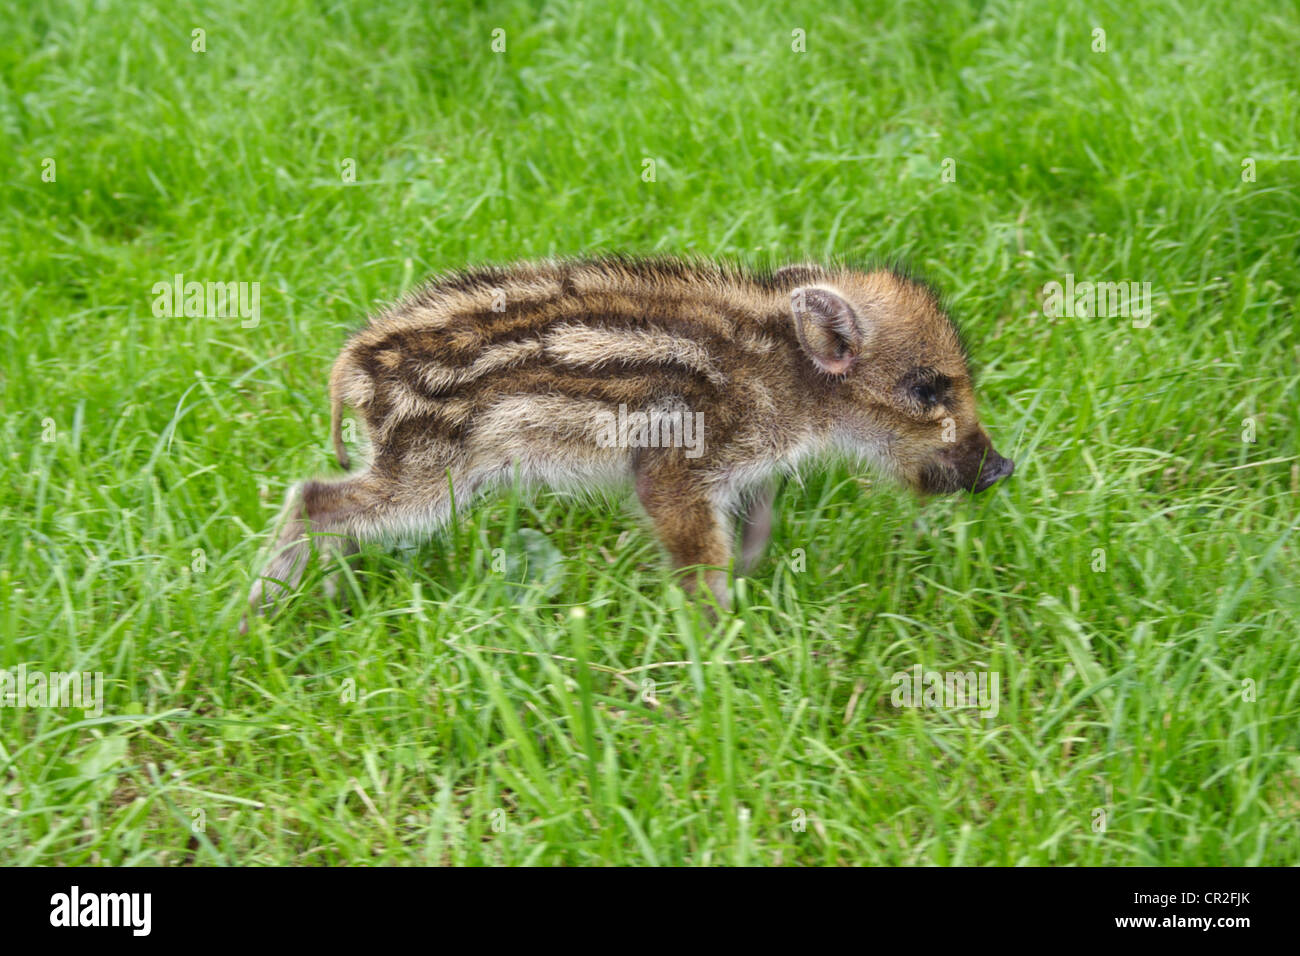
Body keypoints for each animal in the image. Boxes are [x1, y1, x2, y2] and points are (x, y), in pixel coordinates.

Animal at [242, 256, 1013, 629]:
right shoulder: (672, 468)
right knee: (315, 497)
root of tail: (353, 364)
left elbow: (754, 524)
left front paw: (750, 586)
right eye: (928, 388)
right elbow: (700, 554)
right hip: (429, 474)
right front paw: (718, 638)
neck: (789, 378)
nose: (1000, 467)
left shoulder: (746, 469)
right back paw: (258, 618)